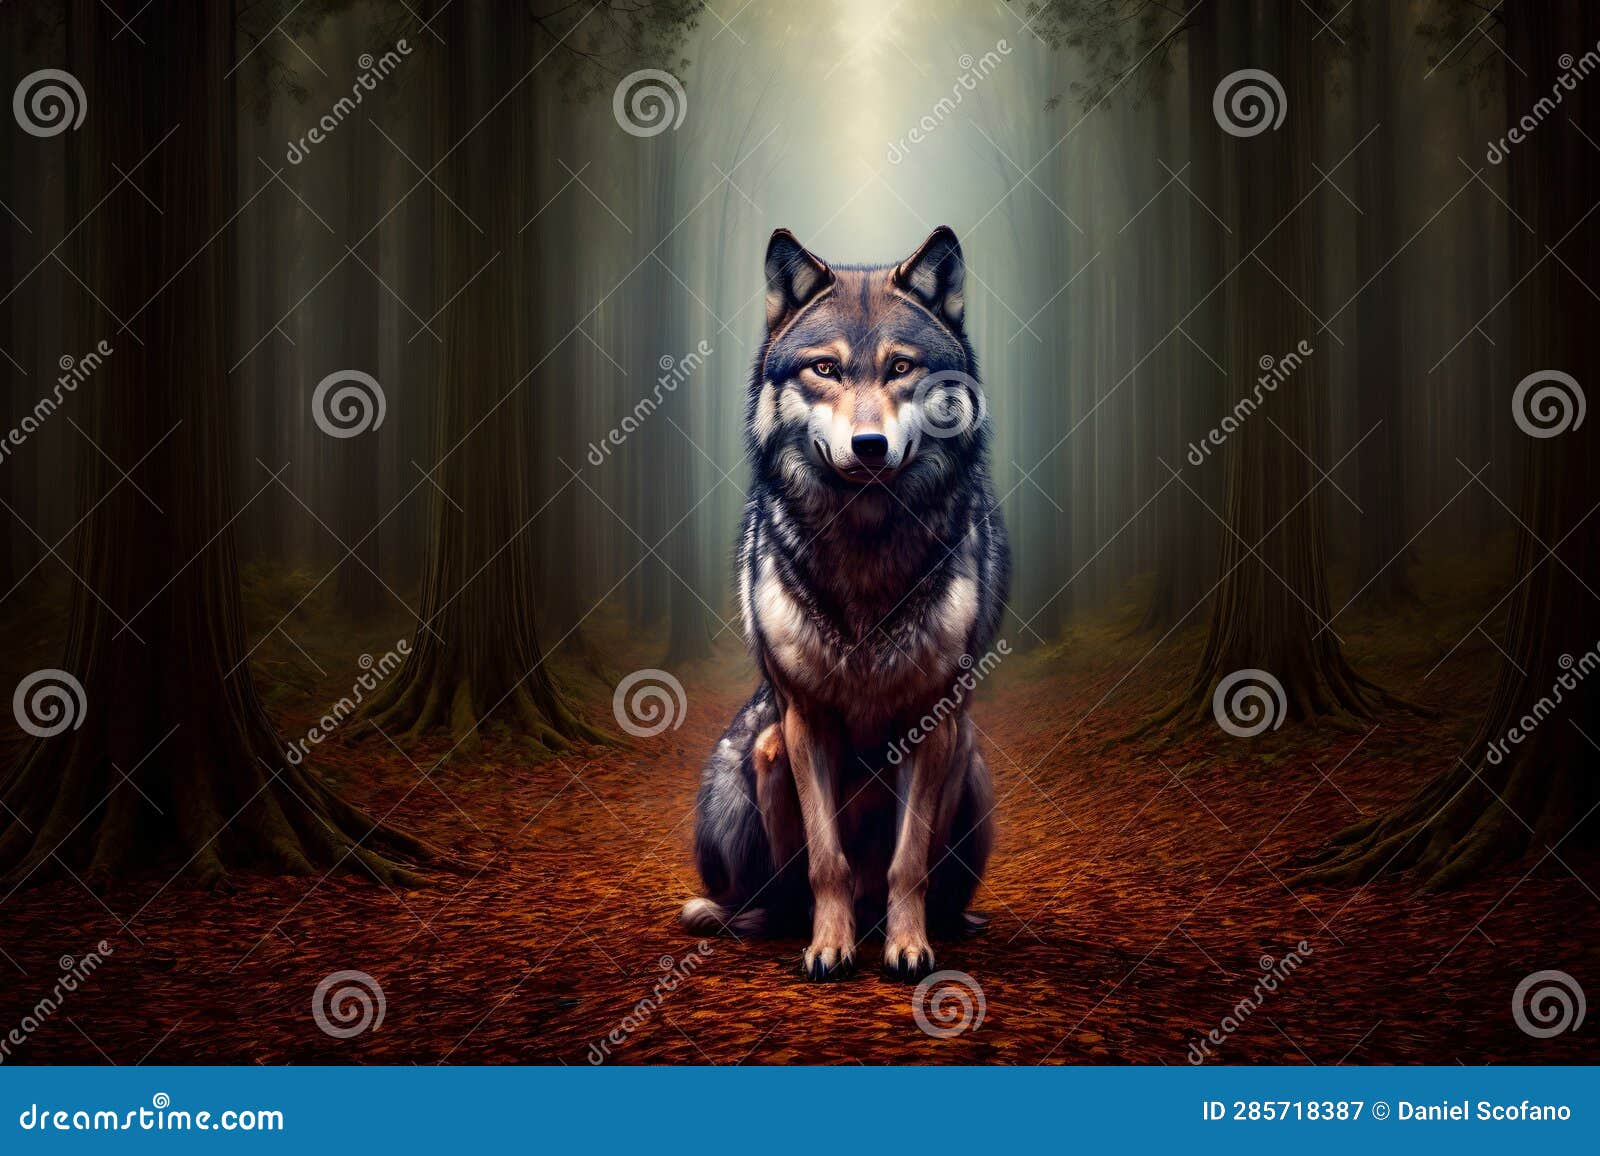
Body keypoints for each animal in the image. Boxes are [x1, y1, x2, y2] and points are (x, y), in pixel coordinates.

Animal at [681, 226, 1010, 982]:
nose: (869, 445)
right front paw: (828, 948)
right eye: (825, 370)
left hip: (969, 757)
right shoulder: (805, 720)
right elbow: (826, 860)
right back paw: (766, 921)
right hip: (766, 749)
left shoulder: (933, 720)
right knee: (788, 892)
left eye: (901, 368)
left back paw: (933, 925)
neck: (864, 544)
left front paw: (909, 948)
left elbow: (907, 864)